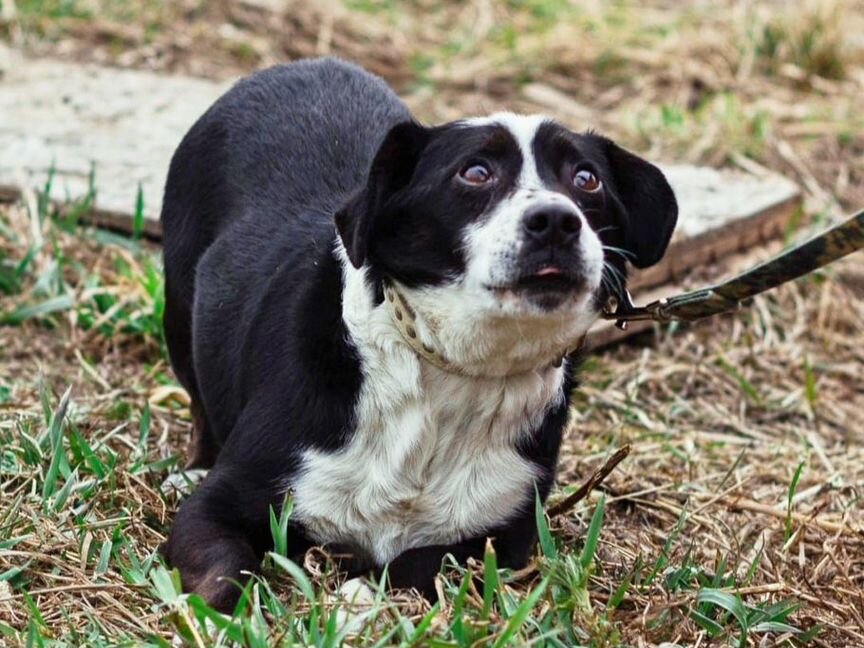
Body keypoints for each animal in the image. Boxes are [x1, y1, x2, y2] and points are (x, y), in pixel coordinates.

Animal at [160, 57, 676, 612]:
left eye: (587, 179)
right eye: (476, 172)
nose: (557, 220)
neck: (452, 375)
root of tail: (298, 65)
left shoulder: (498, 539)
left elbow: (415, 567)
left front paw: (361, 597)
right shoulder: (222, 504)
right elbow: (221, 574)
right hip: (180, 310)